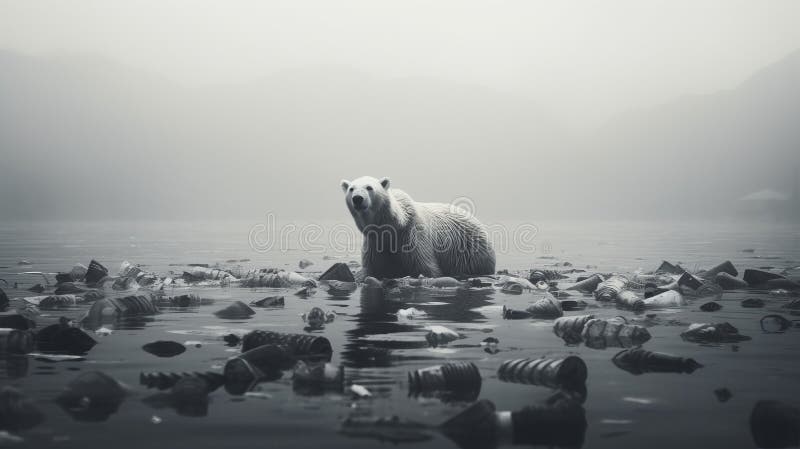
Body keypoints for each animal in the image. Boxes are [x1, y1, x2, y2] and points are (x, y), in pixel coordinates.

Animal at [340, 176, 496, 279]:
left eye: (369, 187)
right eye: (351, 189)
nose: (357, 198)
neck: (393, 226)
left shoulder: (412, 235)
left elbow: (424, 266)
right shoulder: (375, 240)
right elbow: (373, 267)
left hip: (469, 250)